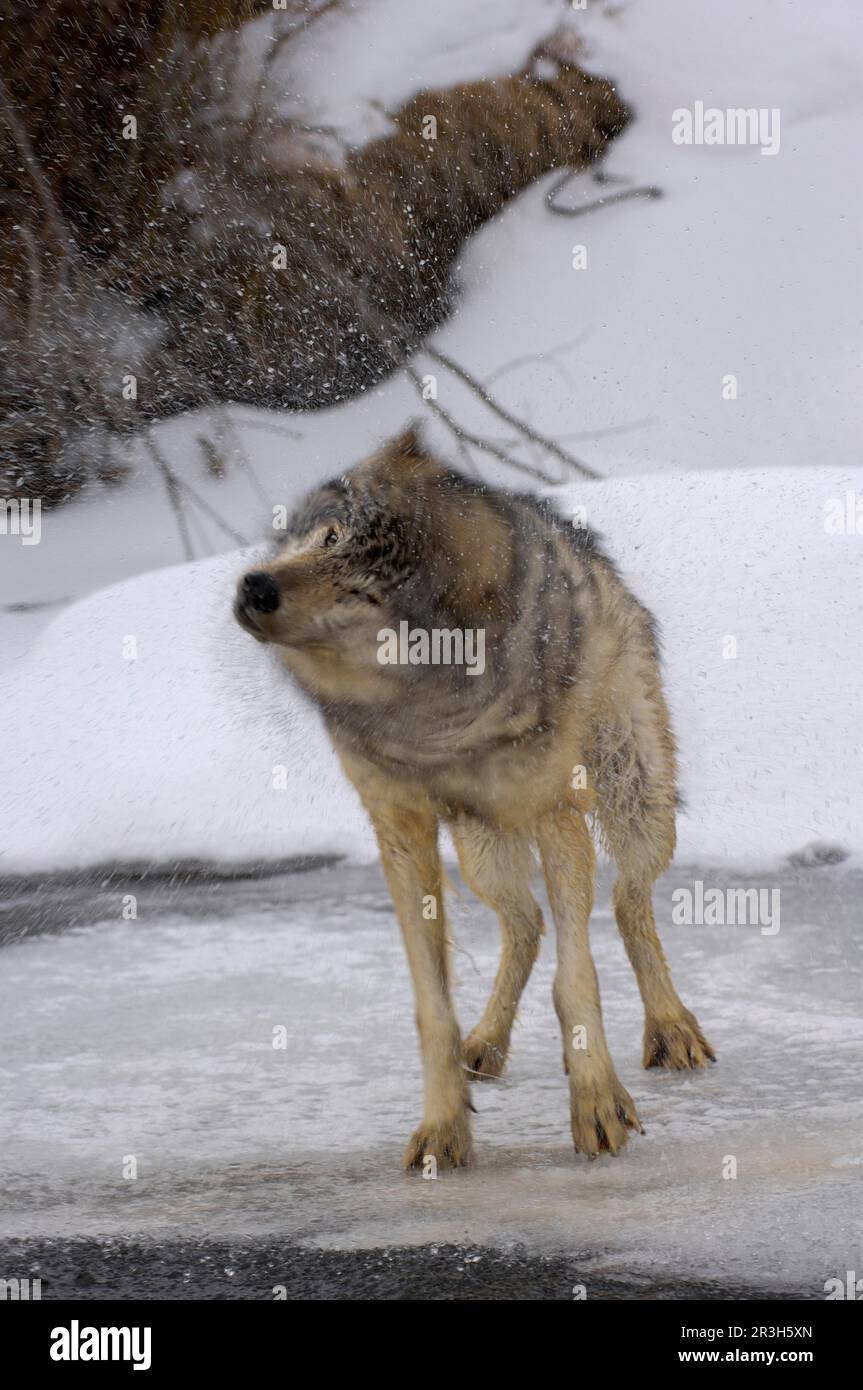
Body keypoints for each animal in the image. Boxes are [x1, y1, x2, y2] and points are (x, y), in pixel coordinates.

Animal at [234, 429, 714, 1169]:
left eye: (361, 596)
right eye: (330, 536)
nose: (255, 585)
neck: (430, 716)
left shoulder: (553, 810)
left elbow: (577, 979)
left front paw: (595, 1102)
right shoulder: (398, 824)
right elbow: (432, 1005)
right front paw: (442, 1128)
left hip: (635, 798)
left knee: (627, 900)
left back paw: (671, 1027)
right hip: (483, 849)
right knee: (527, 924)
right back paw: (484, 1043)